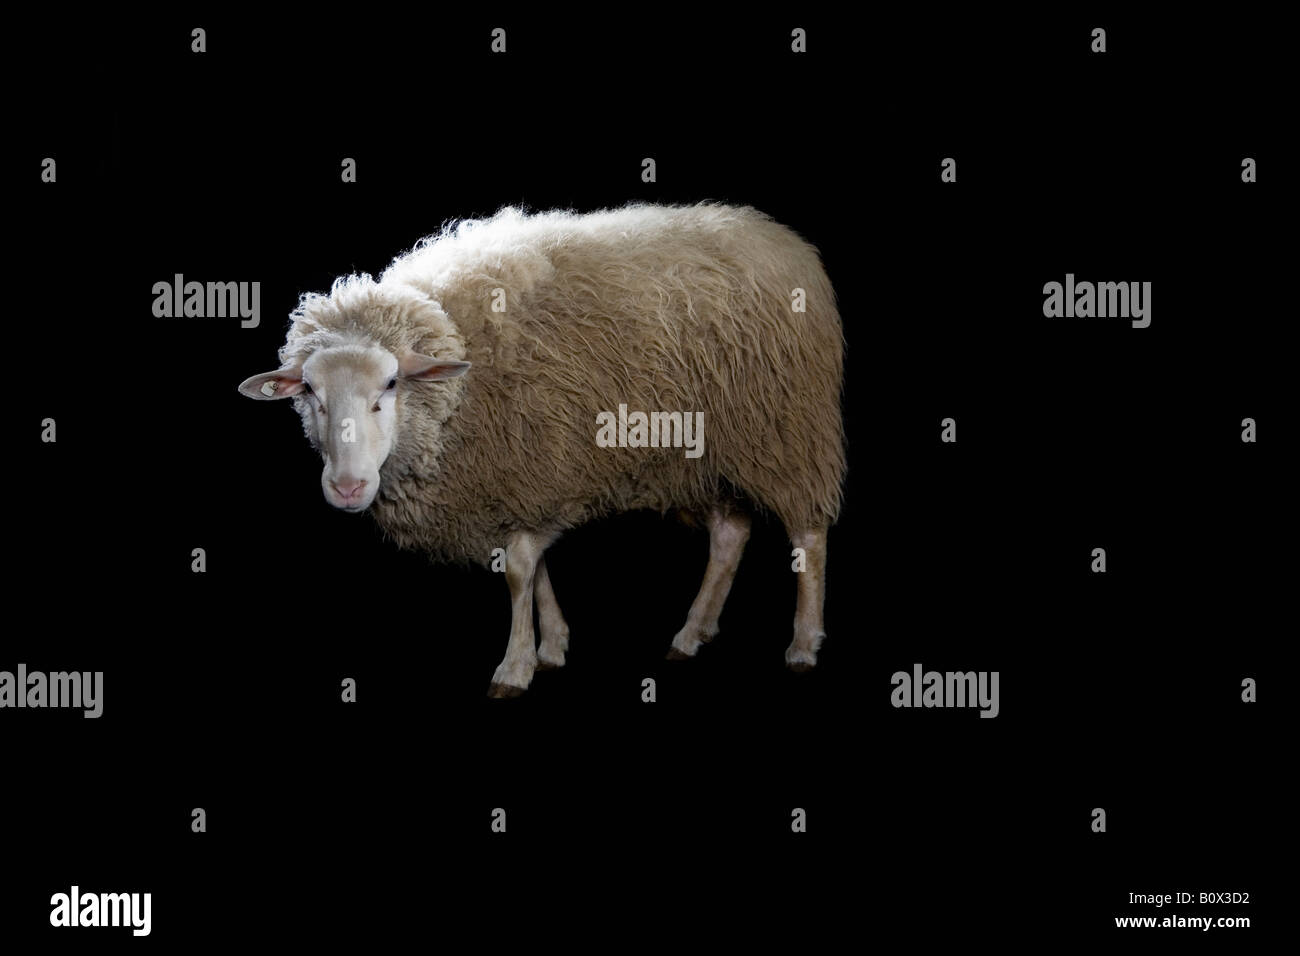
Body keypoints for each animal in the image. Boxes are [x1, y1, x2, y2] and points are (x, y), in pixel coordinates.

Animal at [238, 203, 846, 696]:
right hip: (711, 452)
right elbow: (537, 568)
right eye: (309, 392)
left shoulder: (530, 464)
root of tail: (780, 240)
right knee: (729, 535)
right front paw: (551, 644)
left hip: (787, 430)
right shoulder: (526, 479)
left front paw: (515, 666)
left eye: (389, 386)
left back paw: (802, 644)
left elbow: (519, 571)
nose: (347, 488)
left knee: (808, 535)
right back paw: (691, 633)